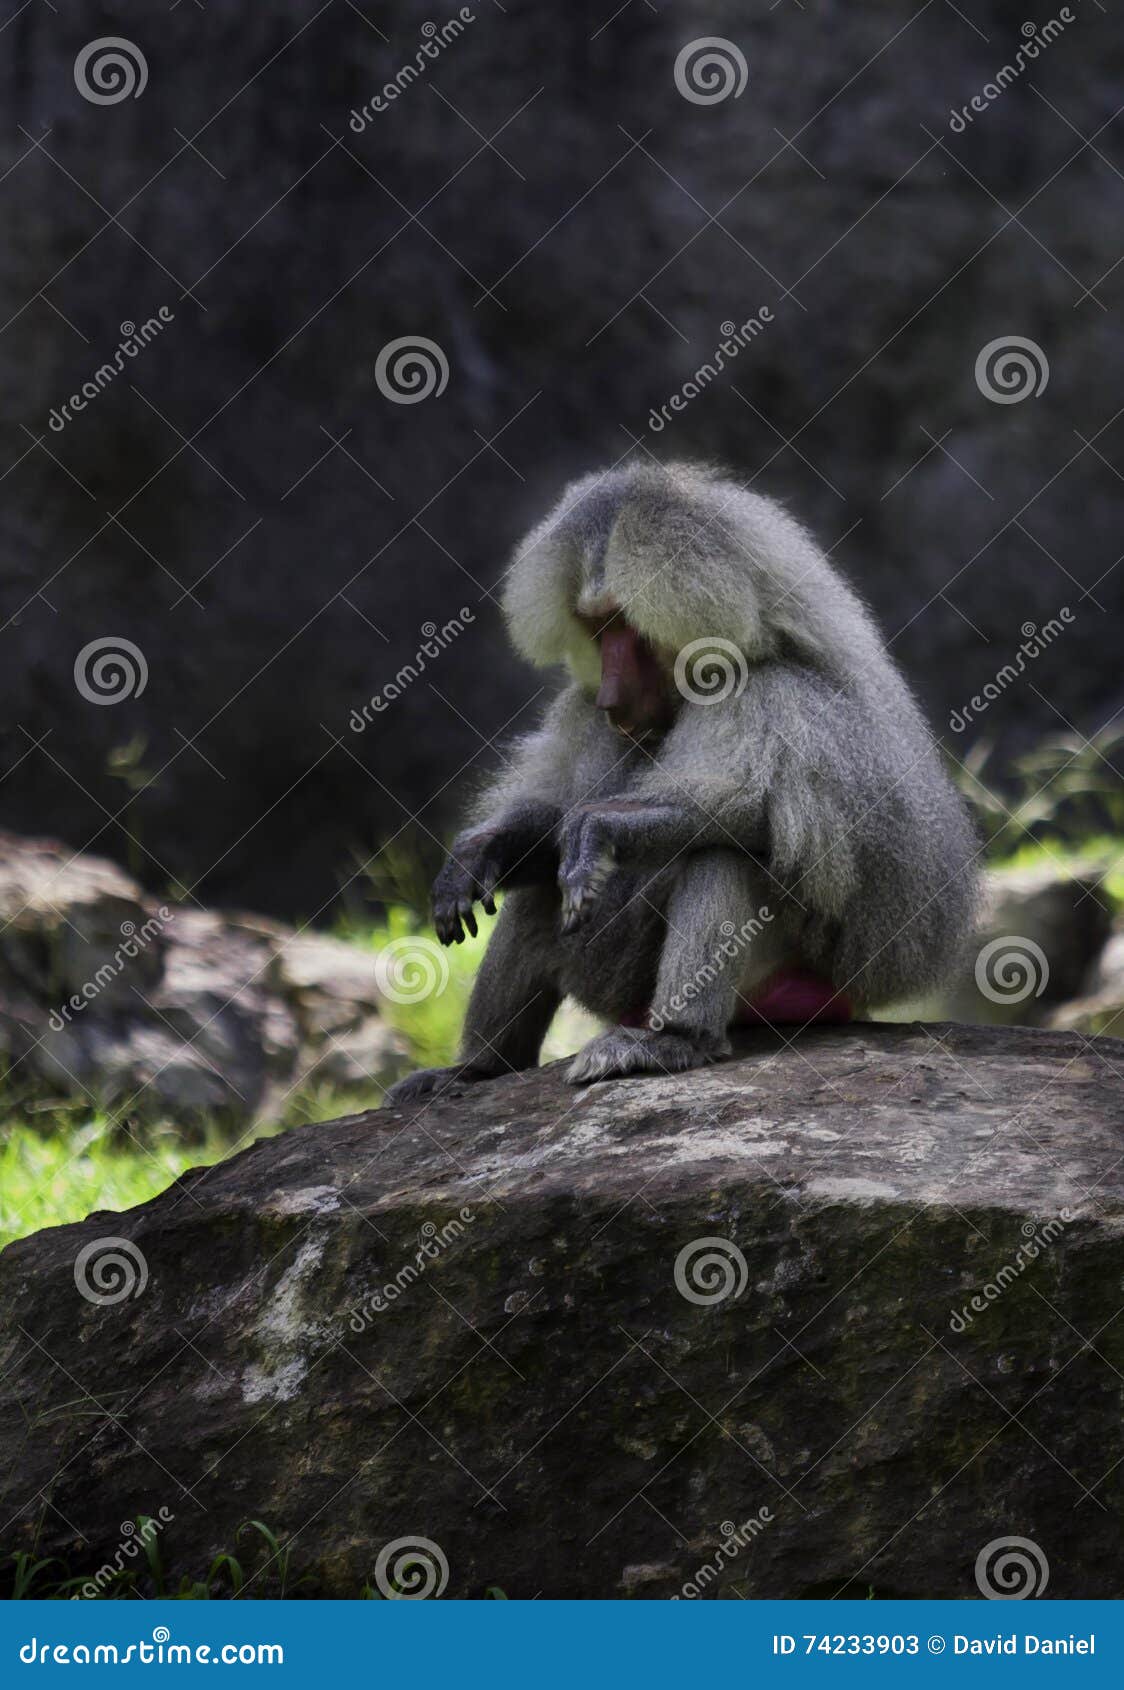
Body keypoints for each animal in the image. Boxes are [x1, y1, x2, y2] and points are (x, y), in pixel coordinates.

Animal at [384, 460, 979, 1106]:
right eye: (594, 628)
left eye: (624, 624)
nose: (610, 698)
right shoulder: (583, 714)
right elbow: (552, 825)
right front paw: (481, 851)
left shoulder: (779, 698)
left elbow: (768, 820)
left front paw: (600, 827)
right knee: (542, 891)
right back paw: (478, 1069)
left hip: (782, 984)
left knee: (727, 850)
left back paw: (675, 1041)